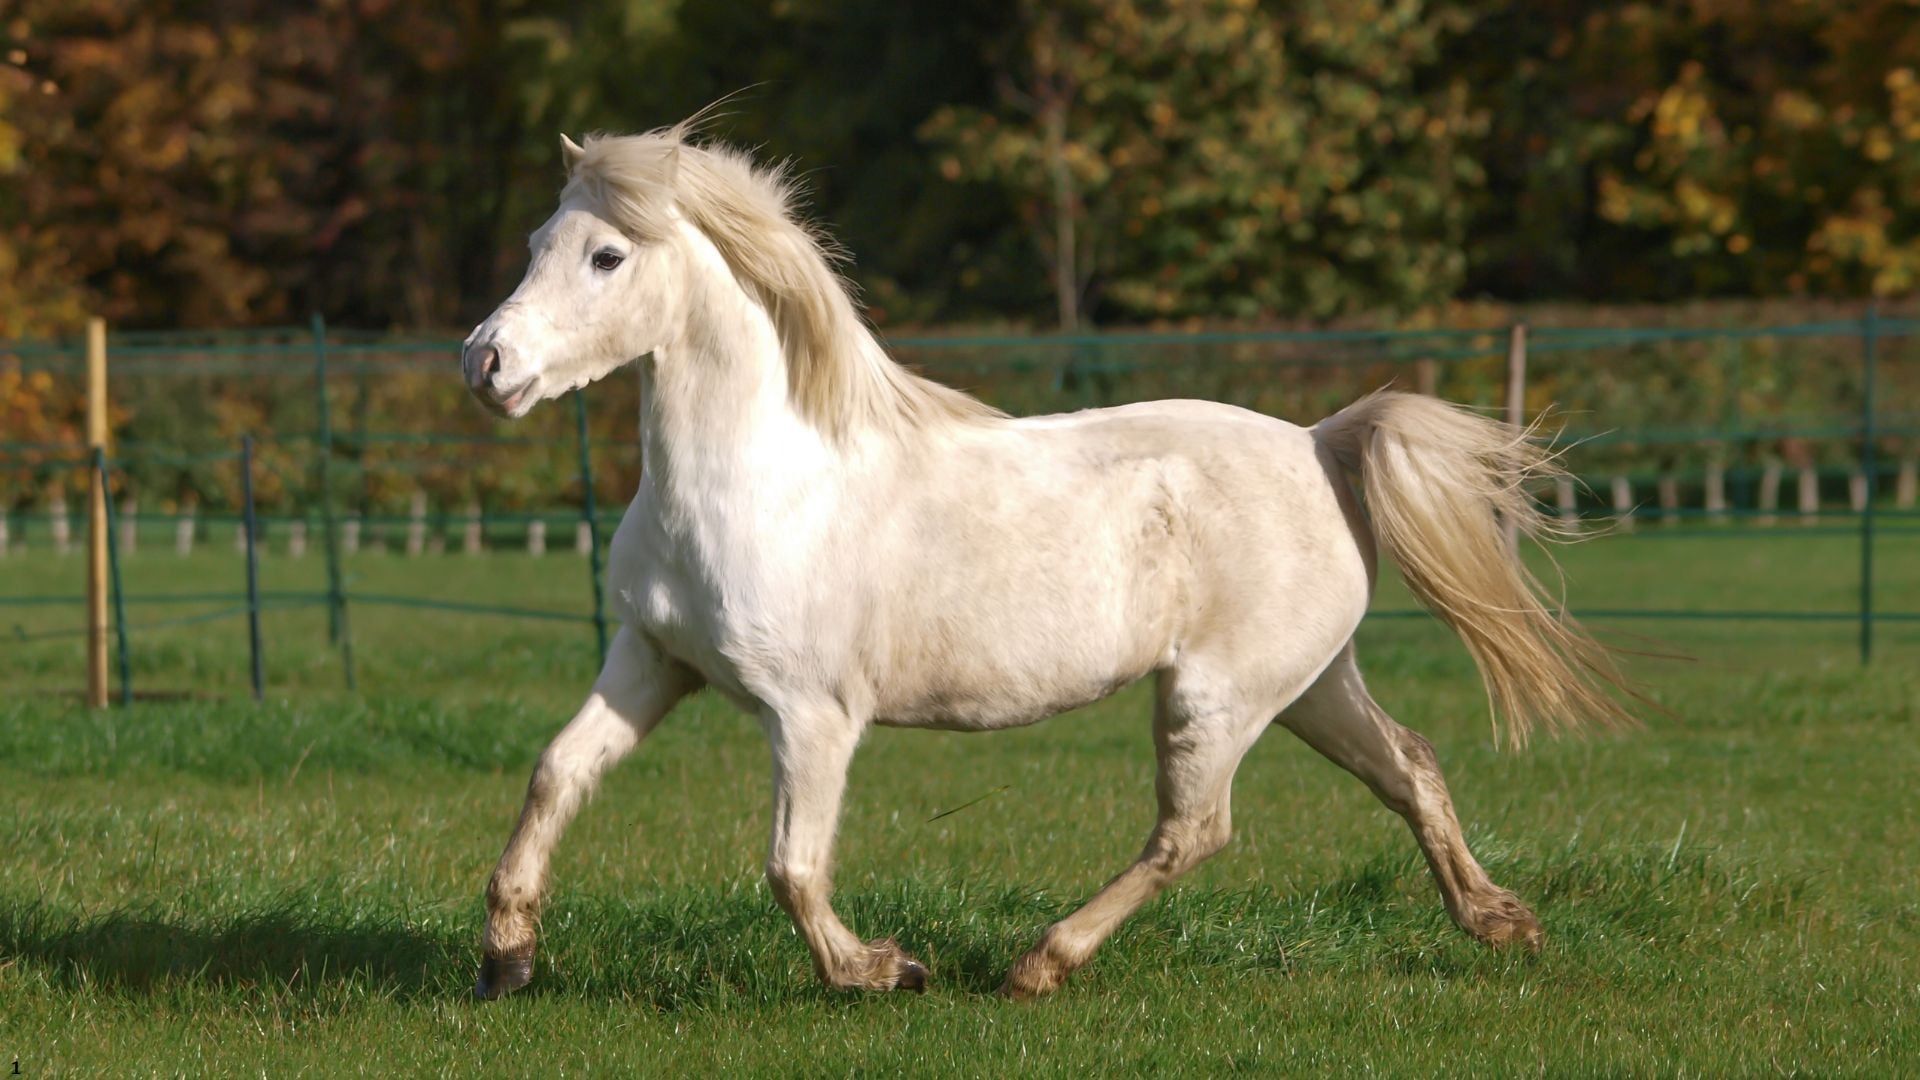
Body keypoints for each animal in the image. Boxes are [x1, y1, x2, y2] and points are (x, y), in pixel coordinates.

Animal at [460, 119, 1633, 1001]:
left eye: (607, 256)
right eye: (536, 240)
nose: (486, 364)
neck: (758, 483)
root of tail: (1321, 443)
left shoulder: (812, 714)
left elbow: (792, 868)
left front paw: (882, 971)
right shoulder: (653, 659)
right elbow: (556, 774)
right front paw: (506, 960)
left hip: (1217, 698)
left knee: (1194, 831)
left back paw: (1038, 965)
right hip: (1307, 685)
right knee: (1409, 767)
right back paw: (1500, 922)